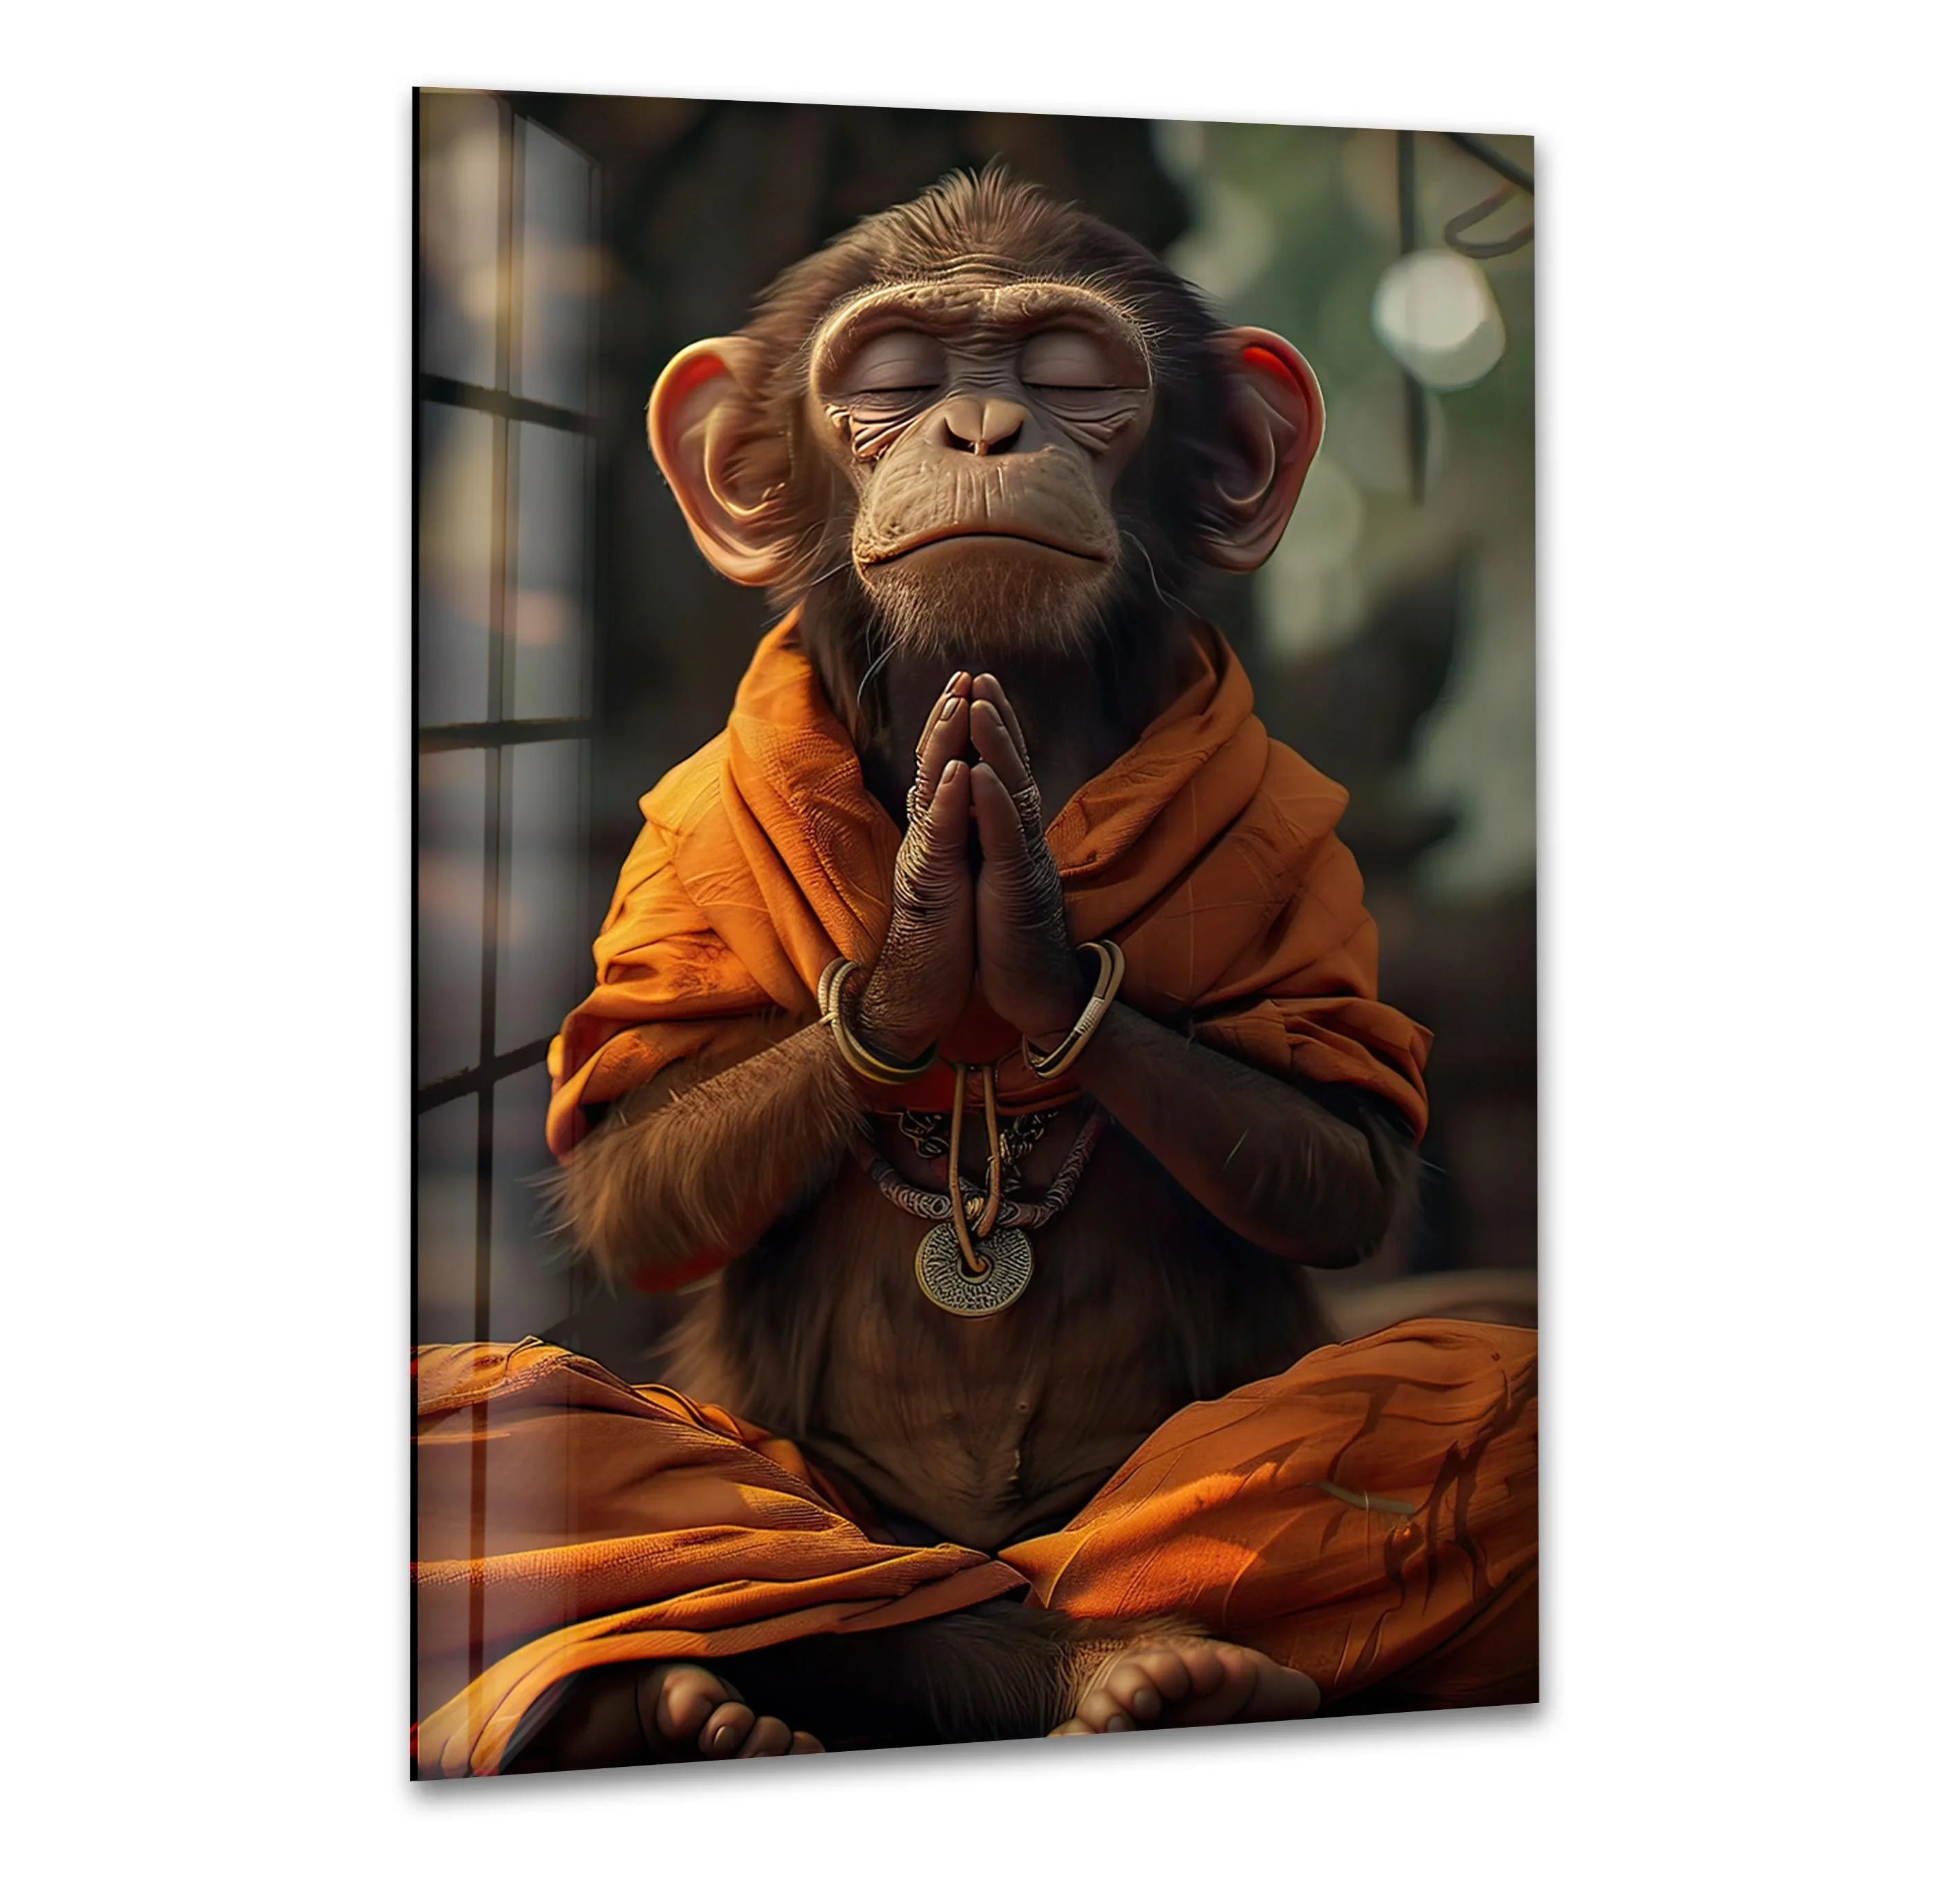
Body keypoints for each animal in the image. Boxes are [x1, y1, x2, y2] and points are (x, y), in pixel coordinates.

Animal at [490, 166, 1462, 1769]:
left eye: (1071, 373)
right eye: (889, 382)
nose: (986, 431)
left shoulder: (1292, 821)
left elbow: (1339, 1156)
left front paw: (1022, 929)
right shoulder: (683, 829)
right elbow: (630, 1178)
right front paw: (922, 930)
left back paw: (1158, 1670)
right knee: (565, 1445)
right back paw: (689, 1696)